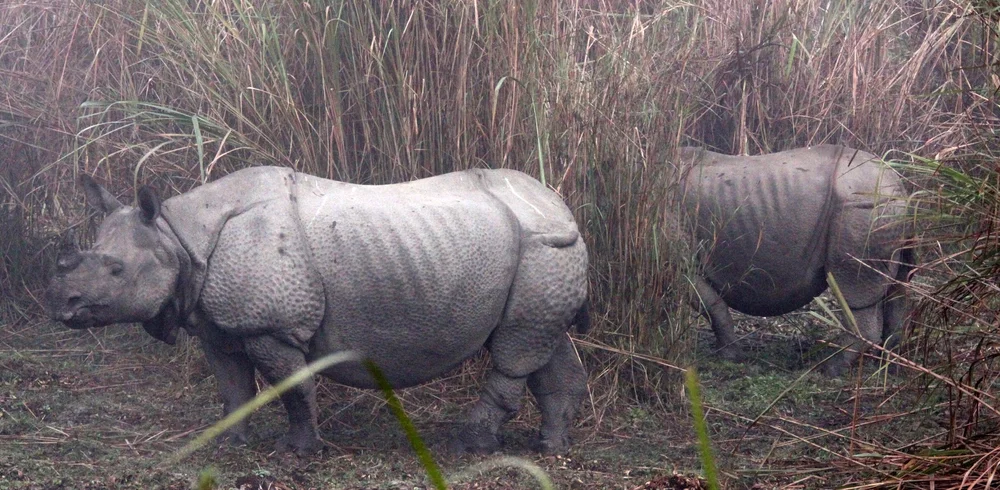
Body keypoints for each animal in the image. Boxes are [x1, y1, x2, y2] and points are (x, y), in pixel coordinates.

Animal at [45, 166, 590, 455]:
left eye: (116, 270)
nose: (63, 306)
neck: (179, 237)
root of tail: (564, 209)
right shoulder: (217, 323)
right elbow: (233, 387)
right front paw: (227, 443)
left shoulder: (271, 325)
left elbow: (291, 386)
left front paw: (300, 453)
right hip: (545, 254)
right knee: (544, 344)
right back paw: (551, 447)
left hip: (542, 246)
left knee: (515, 349)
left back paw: (467, 446)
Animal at [679, 145, 914, 375]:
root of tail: (898, 185)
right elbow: (710, 304)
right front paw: (730, 355)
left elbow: (710, 305)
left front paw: (730, 358)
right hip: (883, 209)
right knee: (897, 290)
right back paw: (891, 368)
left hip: (862, 207)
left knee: (855, 292)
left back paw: (828, 369)